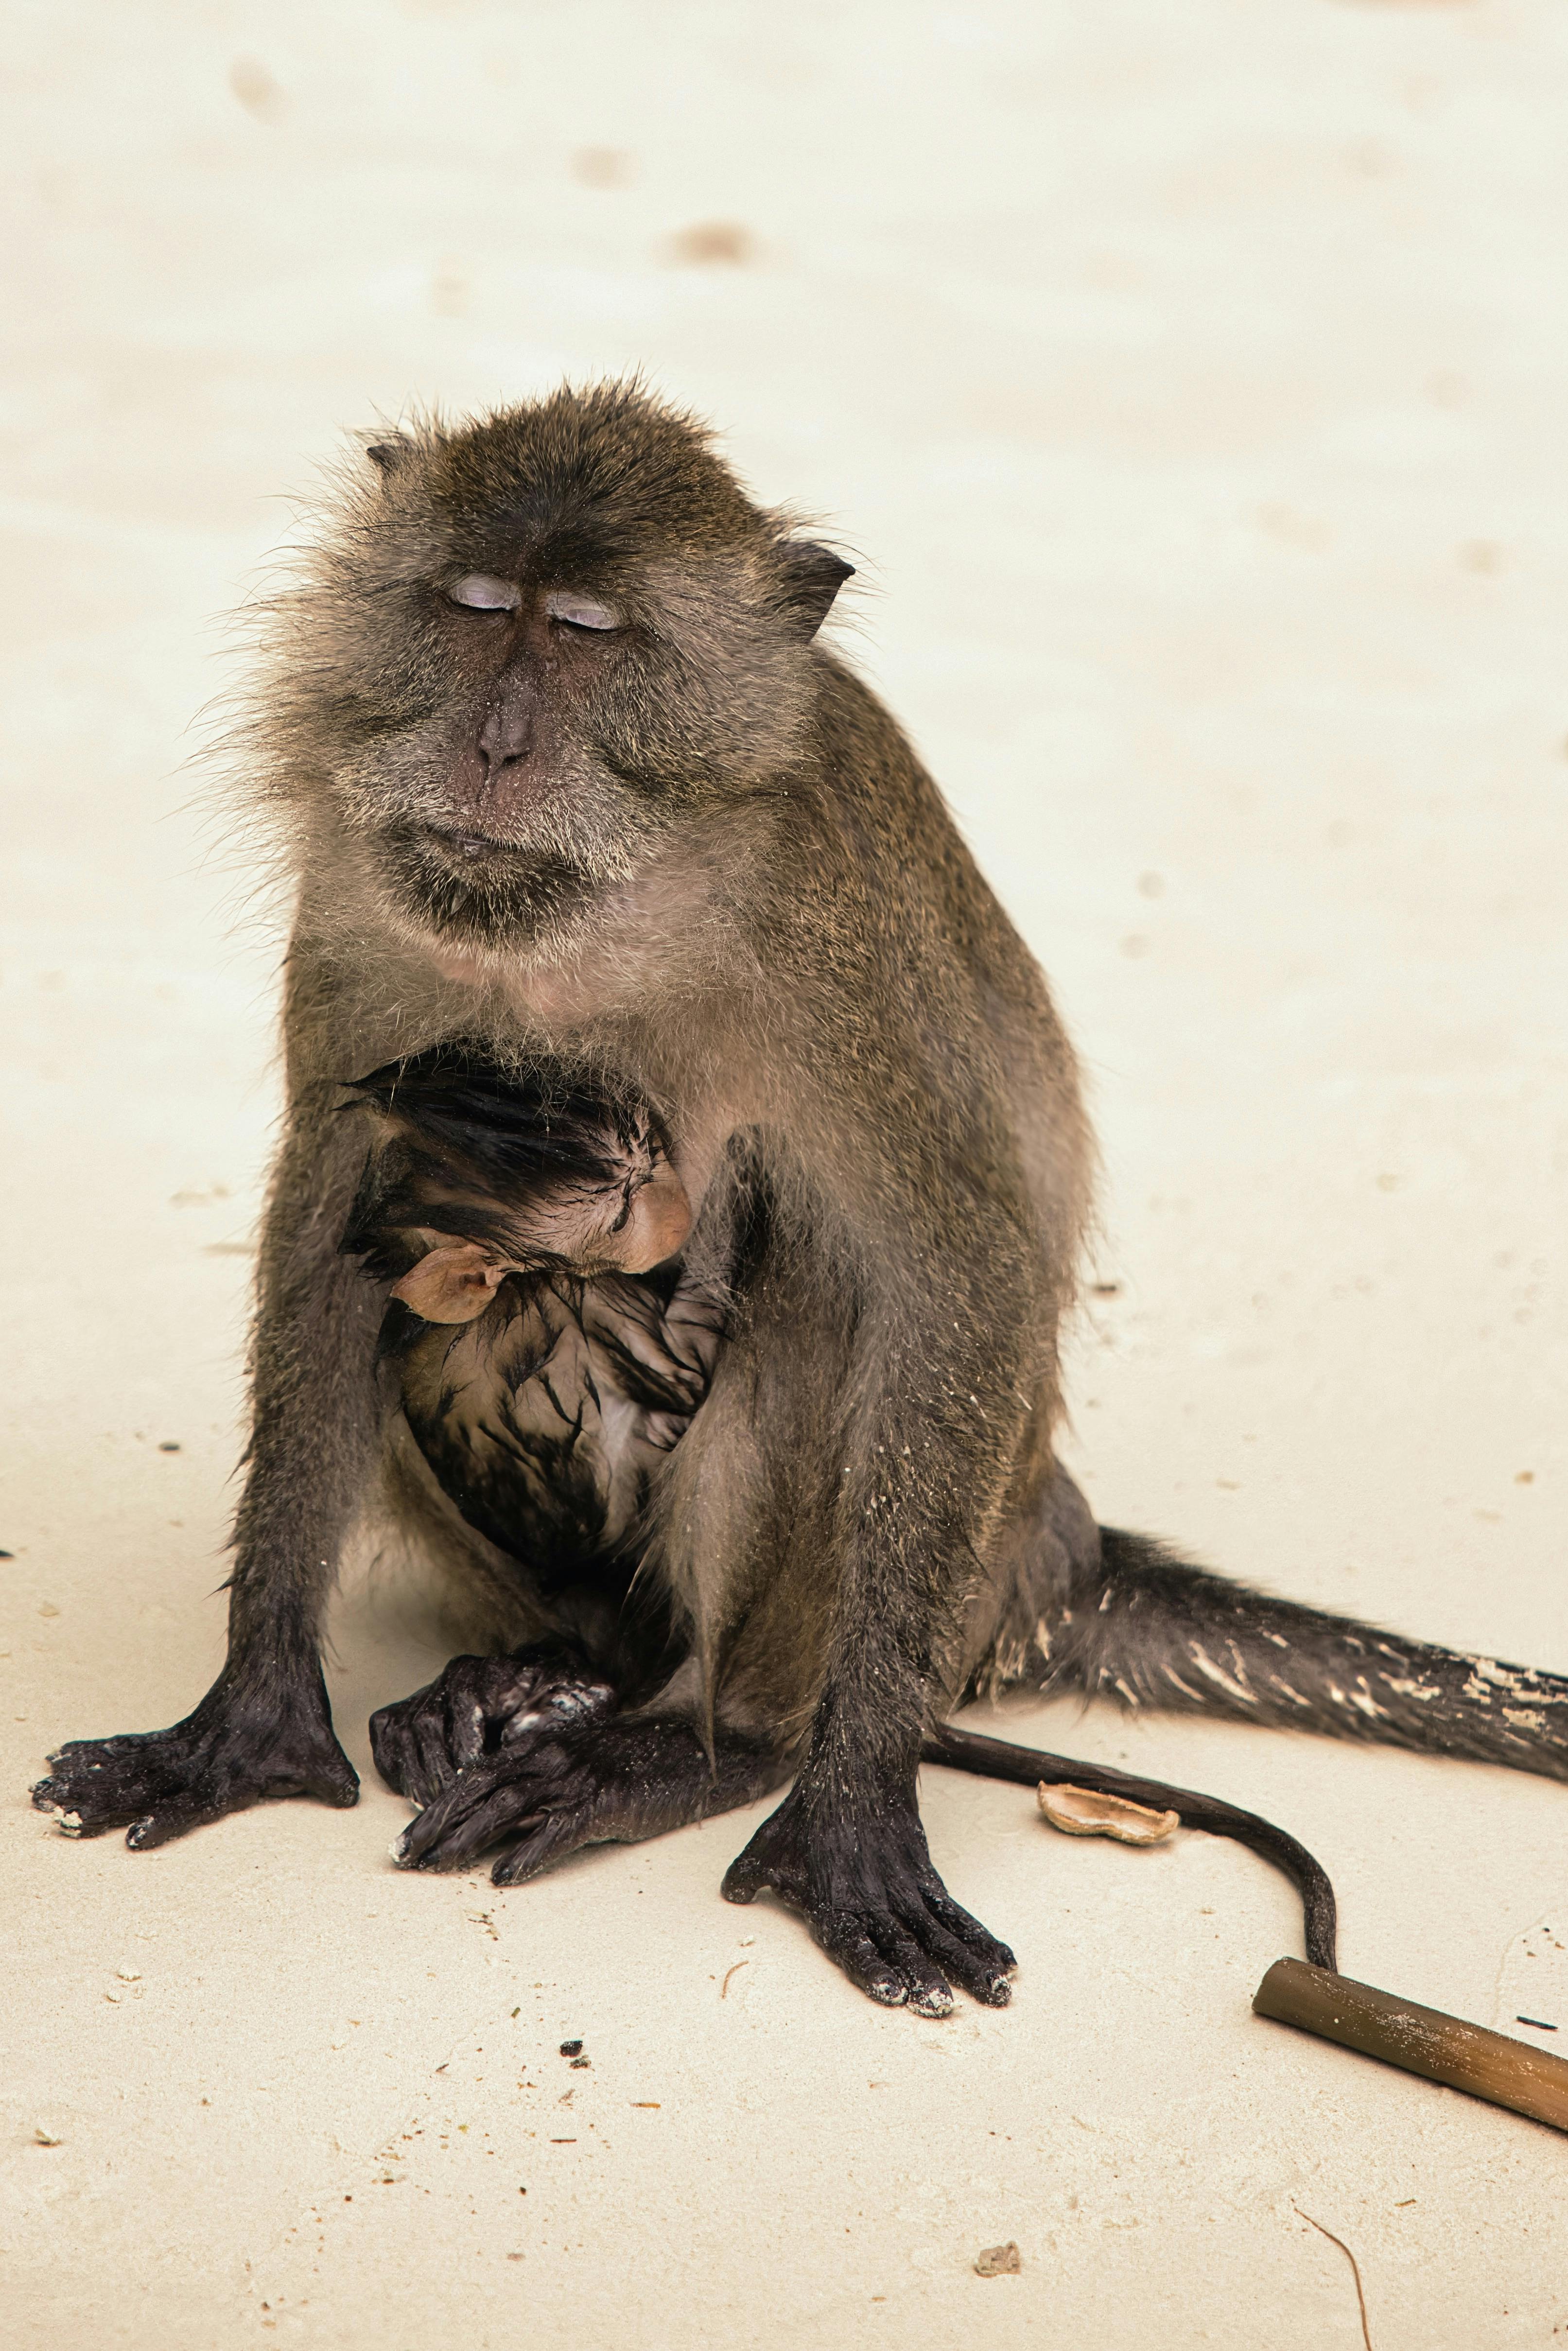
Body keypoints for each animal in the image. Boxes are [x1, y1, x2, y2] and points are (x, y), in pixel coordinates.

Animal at [33, 382, 1568, 2018]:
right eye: (474, 610)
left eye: (587, 632)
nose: (495, 745)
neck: (608, 912)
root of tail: (1053, 1541)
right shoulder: (361, 907)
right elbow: (330, 1218)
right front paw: (255, 1707)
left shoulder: (827, 952)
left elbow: (955, 1274)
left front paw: (848, 1805)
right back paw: (544, 1670)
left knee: (820, 1290)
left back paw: (716, 1742)